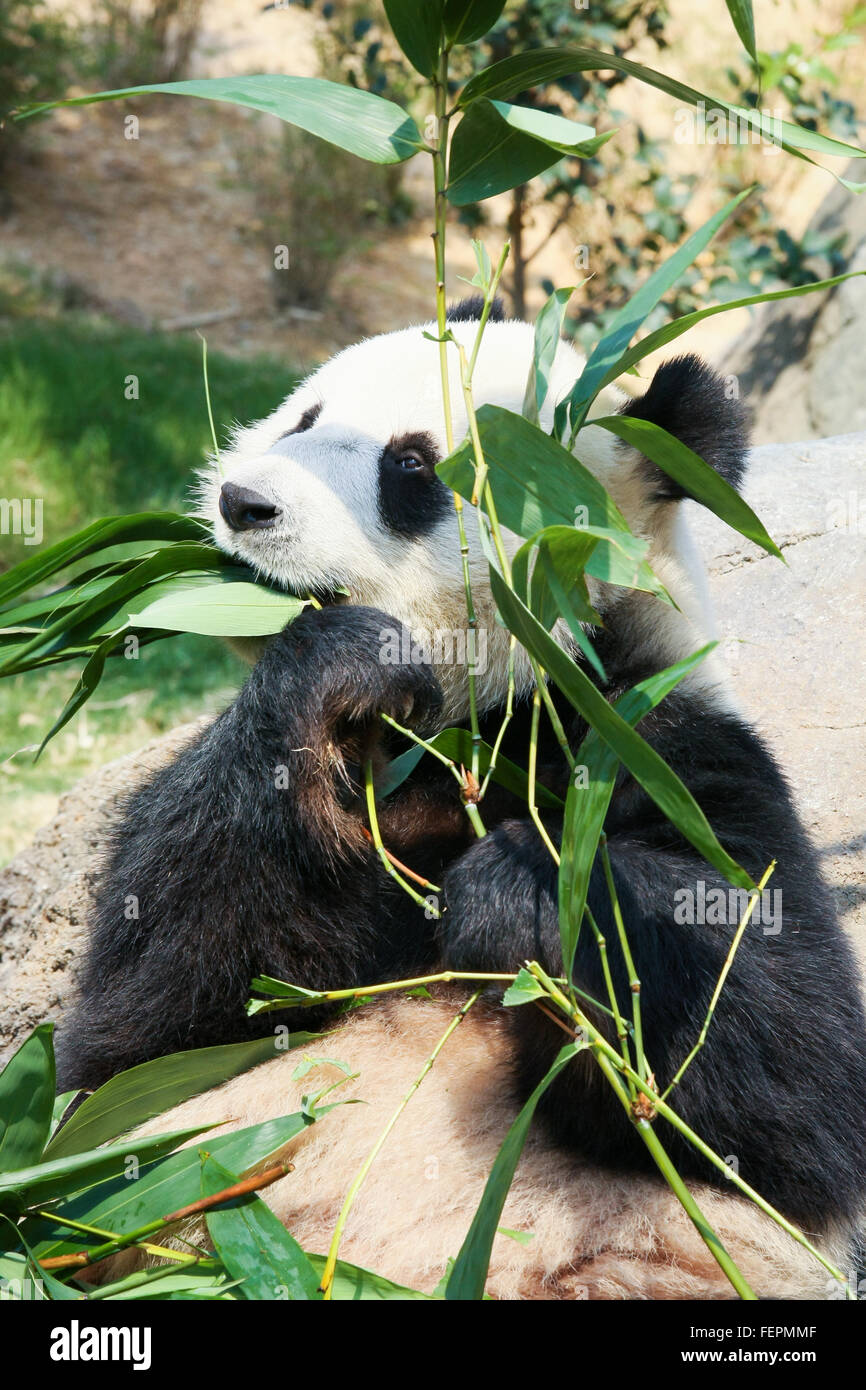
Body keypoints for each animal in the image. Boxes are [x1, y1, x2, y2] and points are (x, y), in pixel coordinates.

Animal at [56, 299, 866, 1300]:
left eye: (411, 465)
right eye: (304, 419)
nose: (244, 502)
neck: (468, 729)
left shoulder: (668, 750)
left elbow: (799, 1091)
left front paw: (520, 892)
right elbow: (135, 1045)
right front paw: (334, 665)